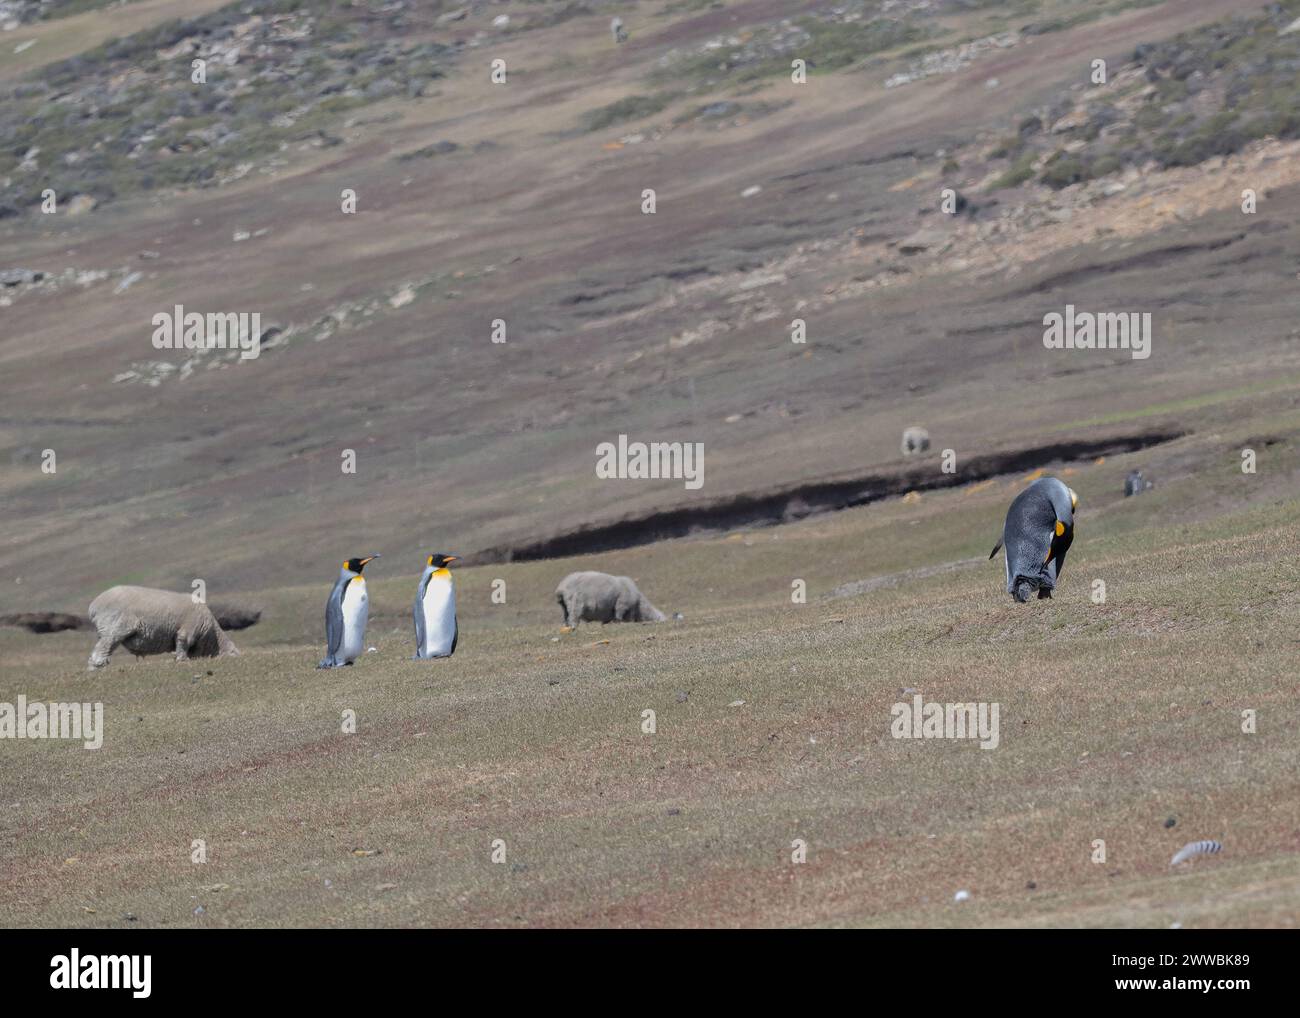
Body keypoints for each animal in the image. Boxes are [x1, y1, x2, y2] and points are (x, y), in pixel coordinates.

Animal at [86, 585, 239, 671]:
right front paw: (182, 660)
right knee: (104, 646)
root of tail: (93, 606)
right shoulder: (188, 630)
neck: (213, 639)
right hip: (114, 627)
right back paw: (97, 665)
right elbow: (182, 643)